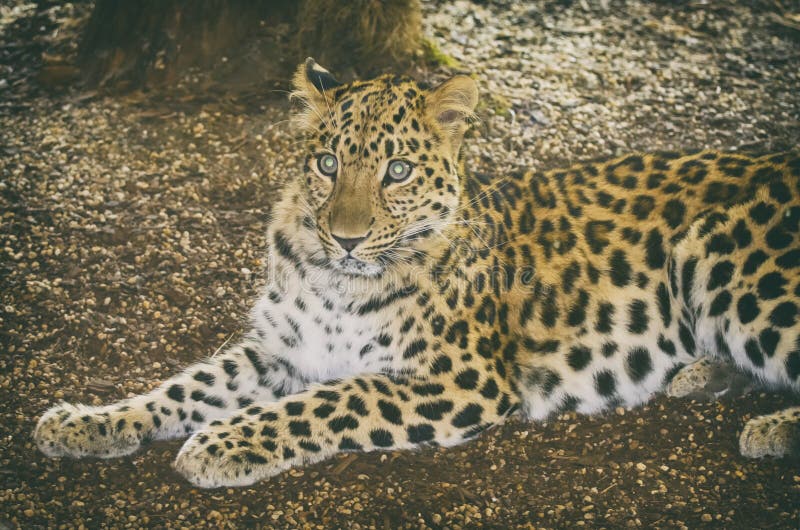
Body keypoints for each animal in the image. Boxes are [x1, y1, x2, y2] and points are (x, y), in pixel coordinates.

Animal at [34, 58, 800, 488]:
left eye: (397, 171)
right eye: (327, 163)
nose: (345, 239)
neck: (337, 281)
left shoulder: (458, 378)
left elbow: (325, 402)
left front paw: (220, 444)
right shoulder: (277, 351)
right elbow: (182, 386)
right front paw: (86, 423)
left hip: (726, 265)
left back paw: (768, 427)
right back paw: (700, 376)